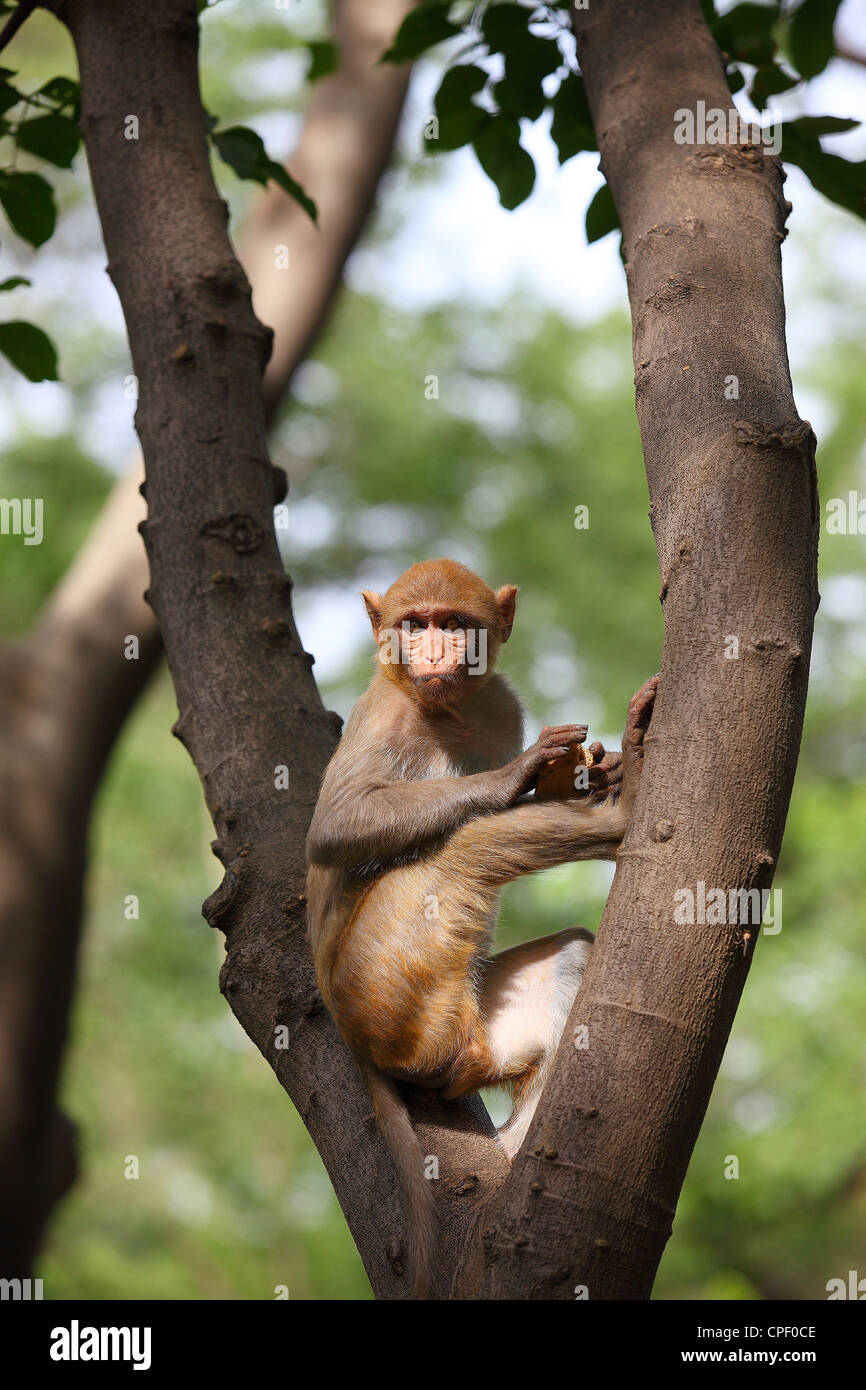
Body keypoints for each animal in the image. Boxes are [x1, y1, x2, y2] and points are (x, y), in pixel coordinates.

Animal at [305, 558, 658, 1297]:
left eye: (453, 623)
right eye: (416, 624)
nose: (436, 651)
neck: (448, 712)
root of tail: (354, 1039)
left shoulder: (500, 702)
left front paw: (587, 774)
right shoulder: (384, 714)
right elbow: (337, 828)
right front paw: (518, 777)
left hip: (471, 1020)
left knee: (562, 958)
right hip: (388, 985)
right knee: (456, 853)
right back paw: (624, 812)